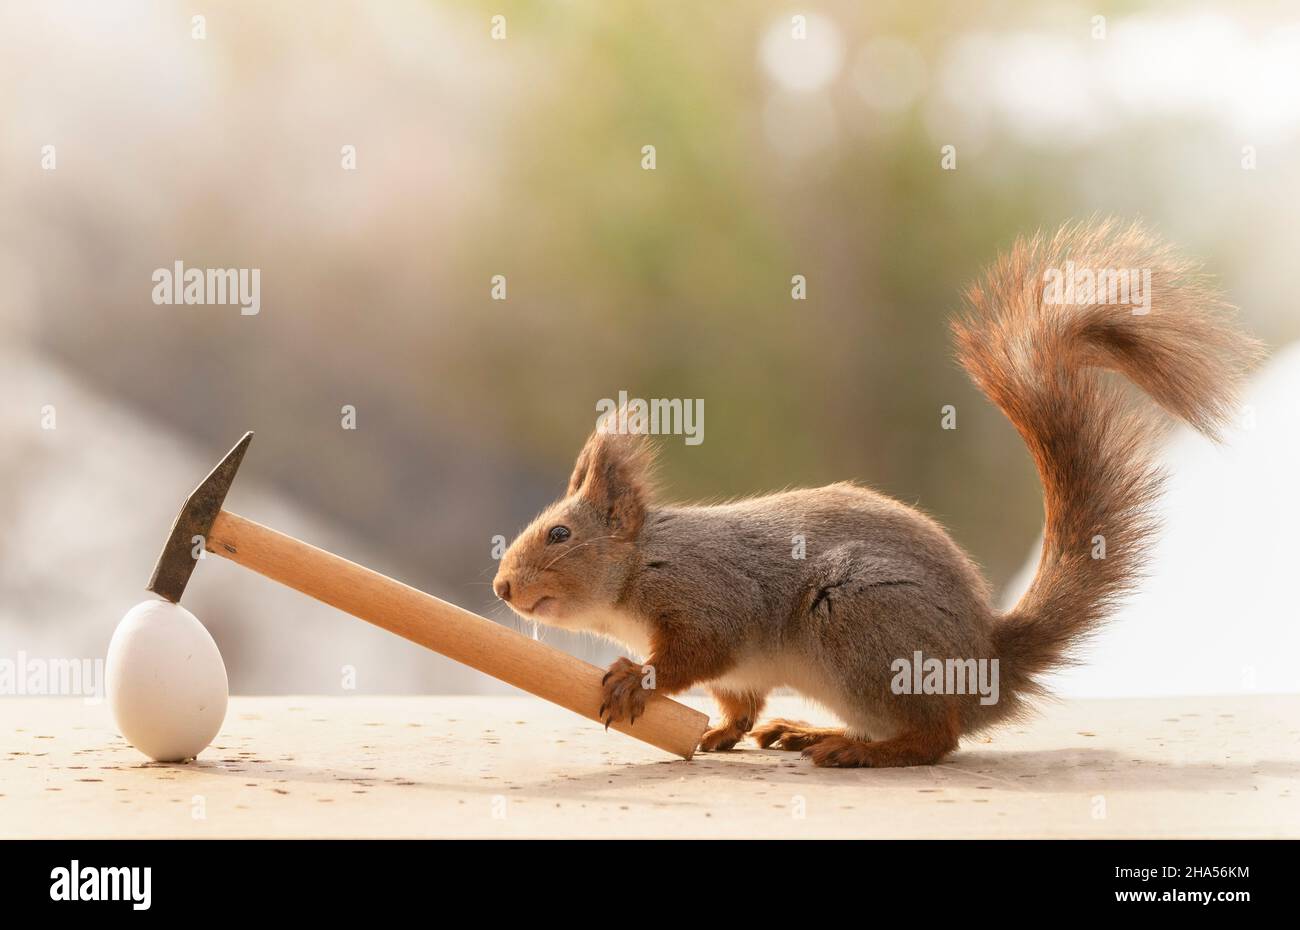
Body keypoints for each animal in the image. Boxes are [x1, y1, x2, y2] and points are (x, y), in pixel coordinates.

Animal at [493, 220, 1262, 767]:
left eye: (559, 534)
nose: (501, 588)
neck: (636, 569)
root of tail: (986, 667)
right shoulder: (738, 667)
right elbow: (738, 699)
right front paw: (719, 733)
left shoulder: (710, 597)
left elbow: (697, 654)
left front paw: (637, 680)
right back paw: (805, 731)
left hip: (862, 622)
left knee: (936, 739)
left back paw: (855, 749)